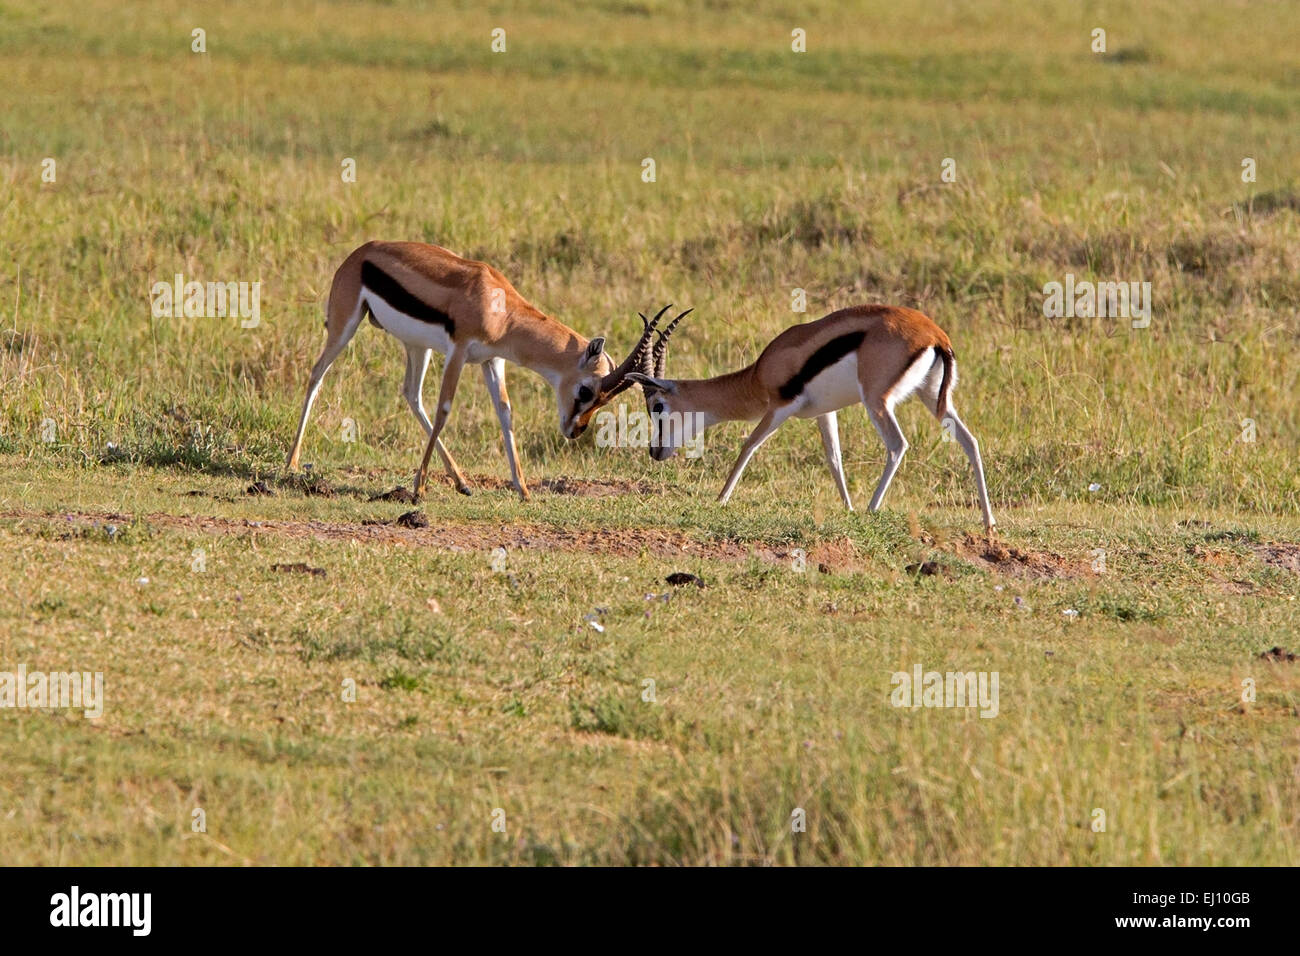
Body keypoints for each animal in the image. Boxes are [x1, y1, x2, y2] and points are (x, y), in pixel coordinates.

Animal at [286, 241, 655, 500]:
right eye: (586, 390)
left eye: (603, 400)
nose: (575, 430)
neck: (500, 309)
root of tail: (360, 252)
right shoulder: (459, 352)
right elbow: (445, 409)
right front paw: (418, 489)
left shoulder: (493, 361)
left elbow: (505, 413)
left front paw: (523, 490)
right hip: (345, 326)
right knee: (316, 375)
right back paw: (291, 463)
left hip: (417, 346)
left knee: (411, 394)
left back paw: (462, 483)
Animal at [621, 305, 996, 531]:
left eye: (657, 406)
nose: (655, 452)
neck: (760, 373)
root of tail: (935, 335)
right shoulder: (824, 413)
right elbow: (834, 458)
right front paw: (847, 508)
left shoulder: (779, 407)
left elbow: (749, 445)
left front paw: (720, 499)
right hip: (932, 397)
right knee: (970, 441)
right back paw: (988, 521)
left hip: (877, 400)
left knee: (897, 444)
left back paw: (873, 509)